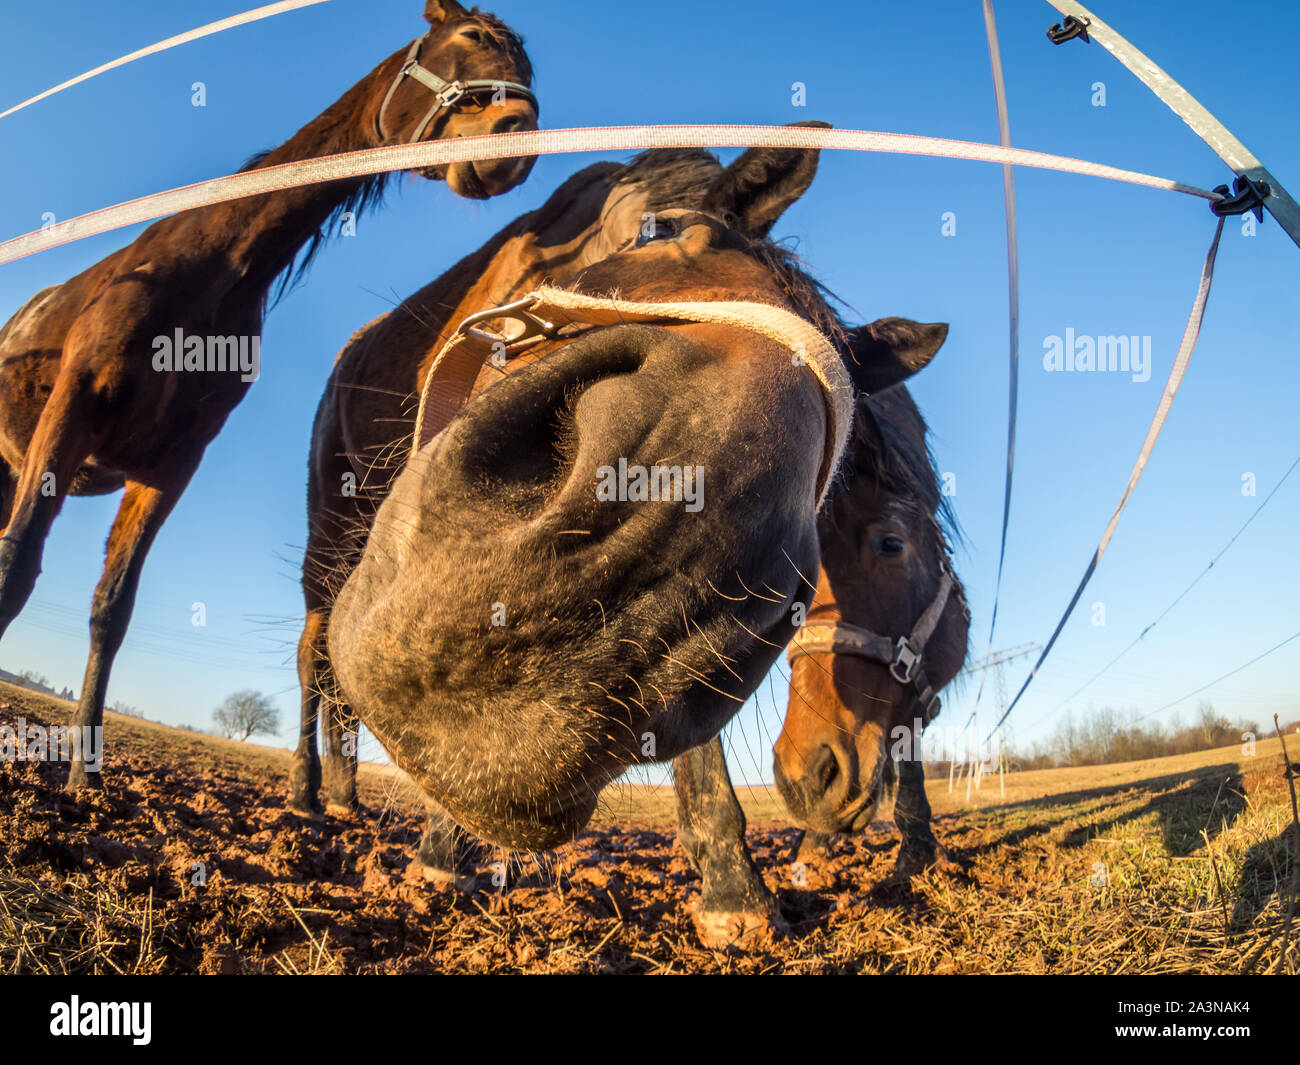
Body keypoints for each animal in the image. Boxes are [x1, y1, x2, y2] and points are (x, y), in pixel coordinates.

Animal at [0, 0, 538, 792]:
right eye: (470, 38)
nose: (516, 134)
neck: (213, 268)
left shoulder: (169, 466)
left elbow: (112, 608)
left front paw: (83, 778)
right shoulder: (72, 415)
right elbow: (17, 568)